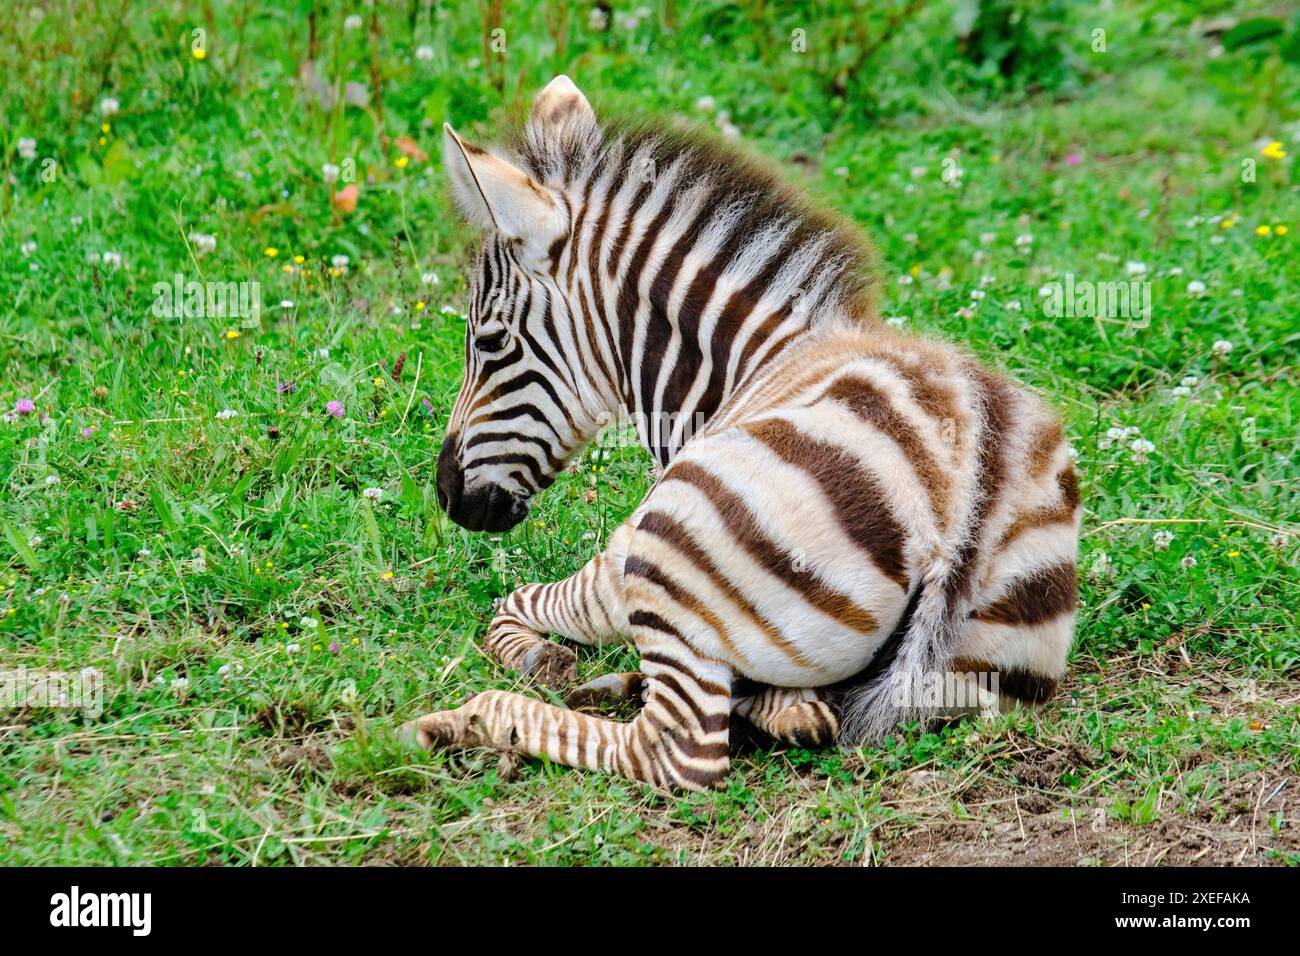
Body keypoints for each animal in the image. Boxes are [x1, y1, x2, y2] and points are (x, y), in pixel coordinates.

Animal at [405, 76, 1080, 790]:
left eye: (490, 342)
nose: (446, 493)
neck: (747, 364)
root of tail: (959, 525)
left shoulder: (618, 565)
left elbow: (509, 605)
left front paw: (545, 662)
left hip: (670, 547)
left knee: (676, 750)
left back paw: (458, 722)